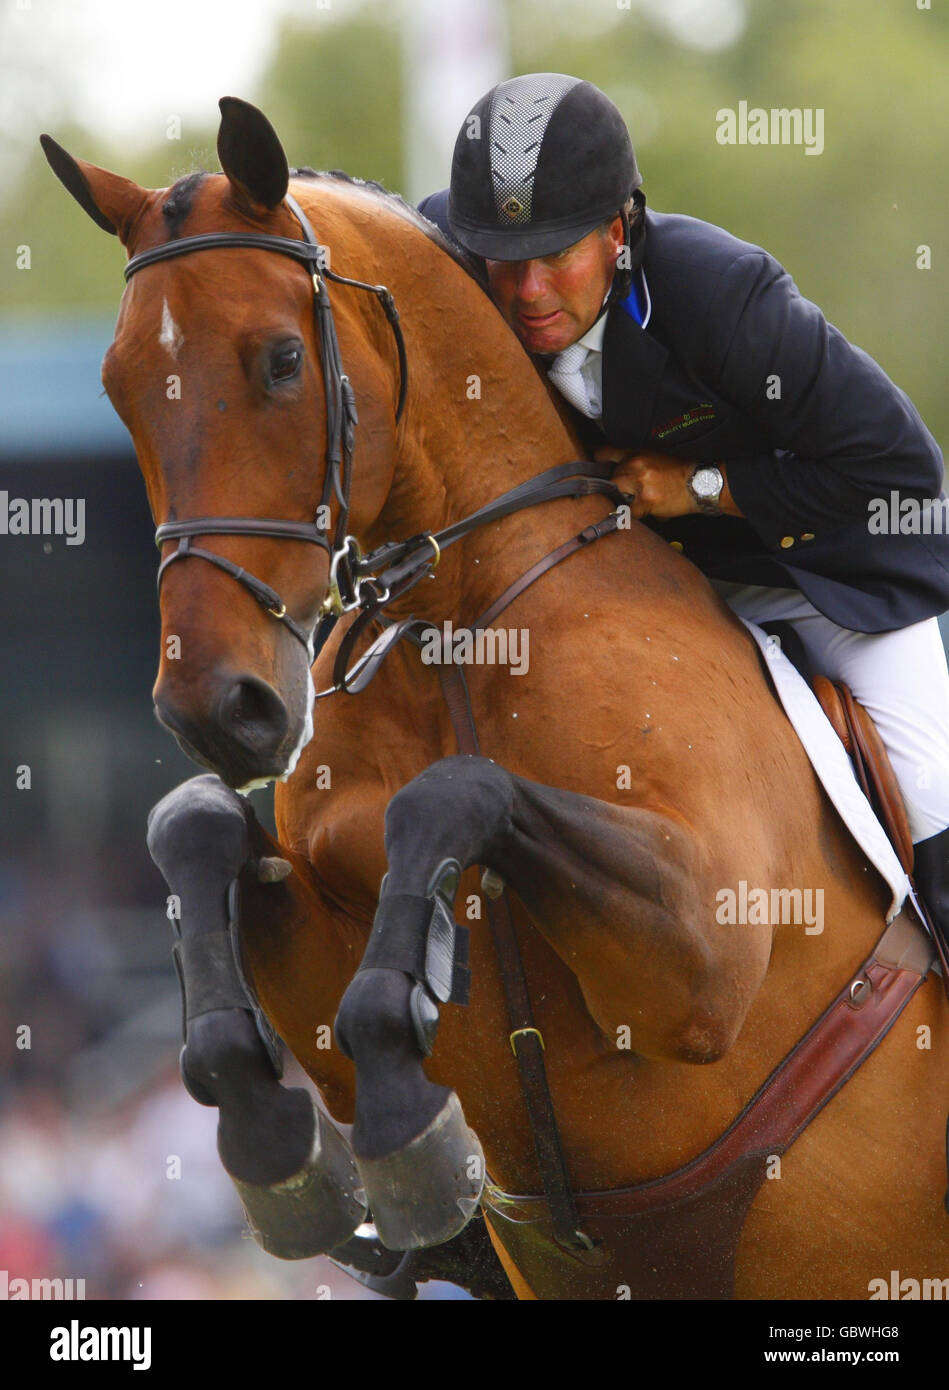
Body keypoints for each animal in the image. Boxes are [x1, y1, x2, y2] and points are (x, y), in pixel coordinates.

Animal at [41, 97, 949, 1300]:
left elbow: (454, 791)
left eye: (281, 361)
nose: (214, 708)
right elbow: (191, 825)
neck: (462, 621)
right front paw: (288, 1151)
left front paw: (404, 1128)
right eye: (118, 386)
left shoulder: (703, 954)